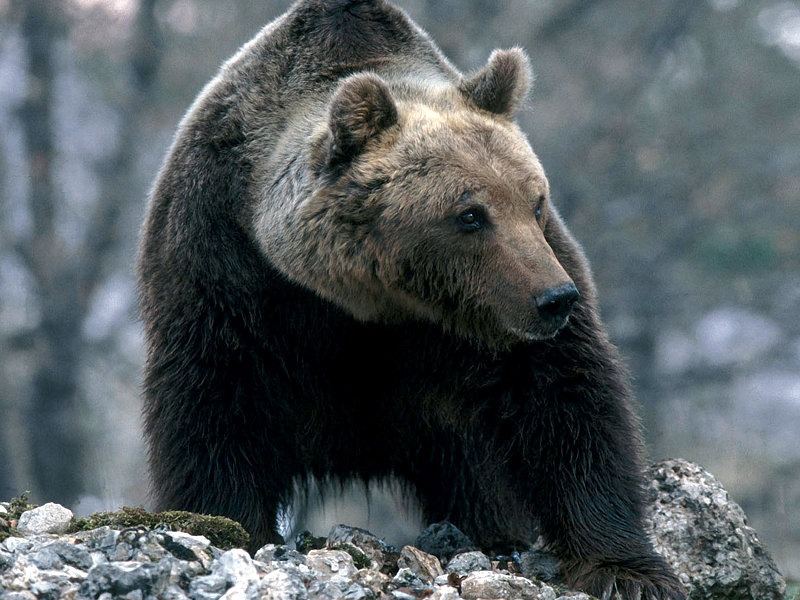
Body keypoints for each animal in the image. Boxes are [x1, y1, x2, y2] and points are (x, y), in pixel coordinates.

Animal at [136, 1, 686, 598]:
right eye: (470, 214)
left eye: (536, 201)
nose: (554, 299)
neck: (372, 303)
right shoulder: (225, 269)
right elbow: (214, 403)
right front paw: (228, 525)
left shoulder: (500, 314)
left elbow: (568, 398)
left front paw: (625, 571)